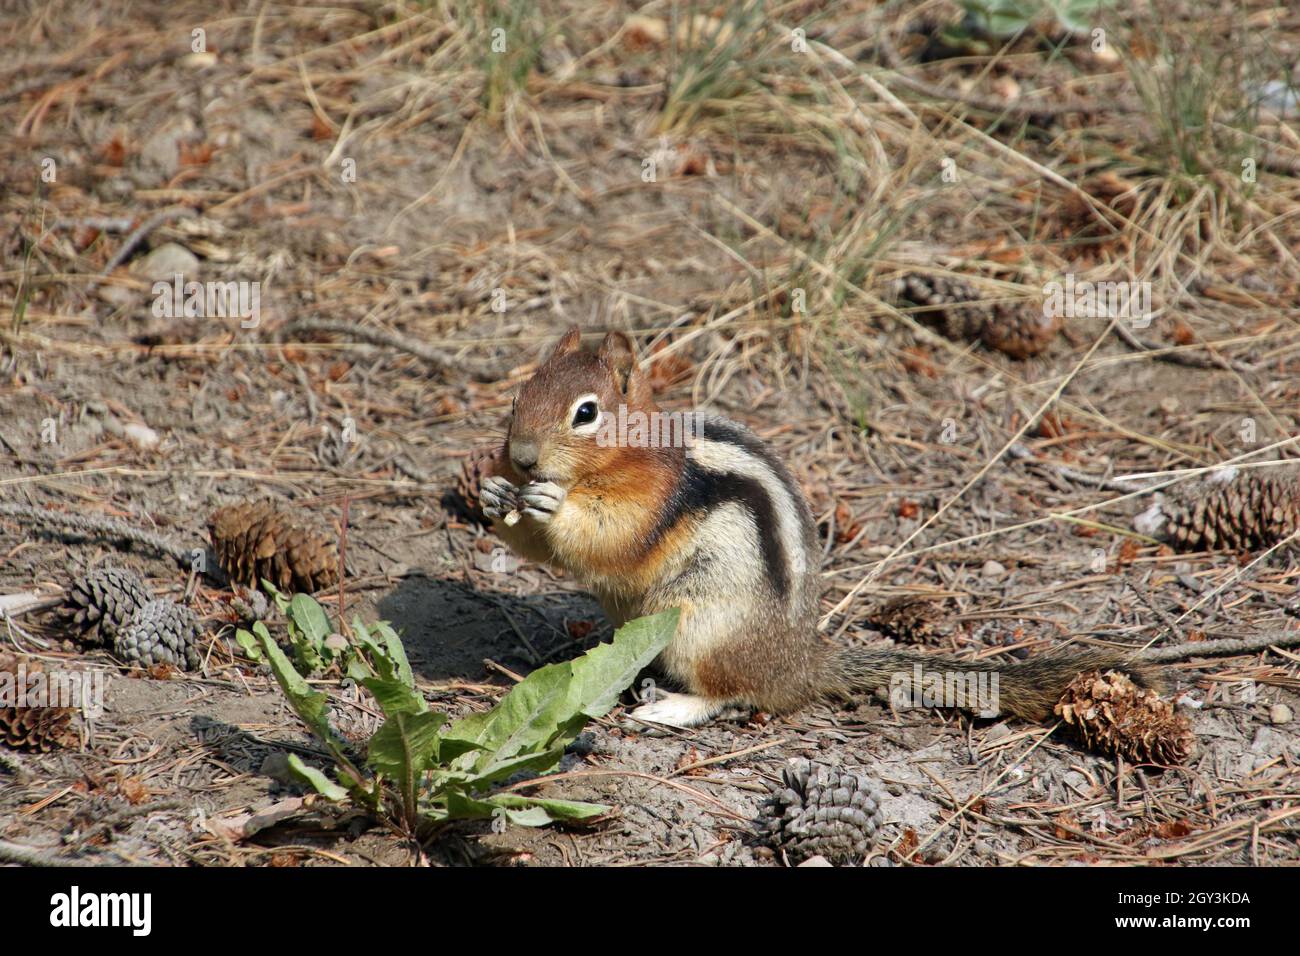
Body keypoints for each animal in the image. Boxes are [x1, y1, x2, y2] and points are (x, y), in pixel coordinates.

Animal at [477, 327, 1160, 728]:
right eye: (517, 397)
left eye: (586, 413)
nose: (522, 458)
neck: (627, 455)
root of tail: (802, 662)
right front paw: (488, 493)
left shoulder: (652, 499)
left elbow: (609, 538)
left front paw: (552, 504)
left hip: (701, 628)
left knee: (731, 693)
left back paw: (668, 709)